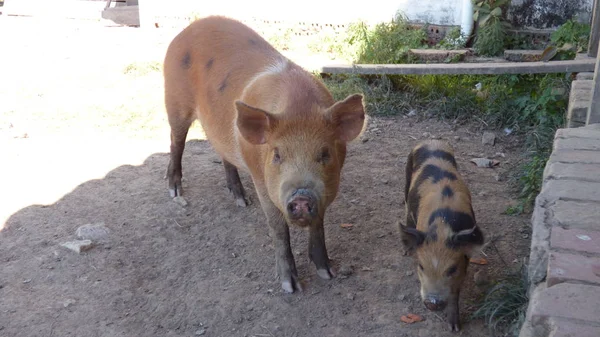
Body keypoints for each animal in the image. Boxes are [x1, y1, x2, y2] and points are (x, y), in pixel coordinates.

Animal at [162, 17, 366, 292]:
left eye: (325, 154)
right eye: (277, 155)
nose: (301, 197)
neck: (298, 109)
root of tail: (189, 28)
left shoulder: (324, 191)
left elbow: (319, 226)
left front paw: (328, 272)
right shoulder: (262, 180)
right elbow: (278, 228)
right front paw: (290, 287)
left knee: (221, 152)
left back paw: (241, 200)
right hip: (174, 102)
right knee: (176, 142)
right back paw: (175, 191)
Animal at [400, 140, 486, 330]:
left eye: (451, 269)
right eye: (421, 266)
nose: (433, 302)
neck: (441, 228)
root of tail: (431, 140)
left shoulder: (463, 262)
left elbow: (454, 293)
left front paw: (454, 328)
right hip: (407, 176)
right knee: (406, 206)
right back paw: (406, 251)